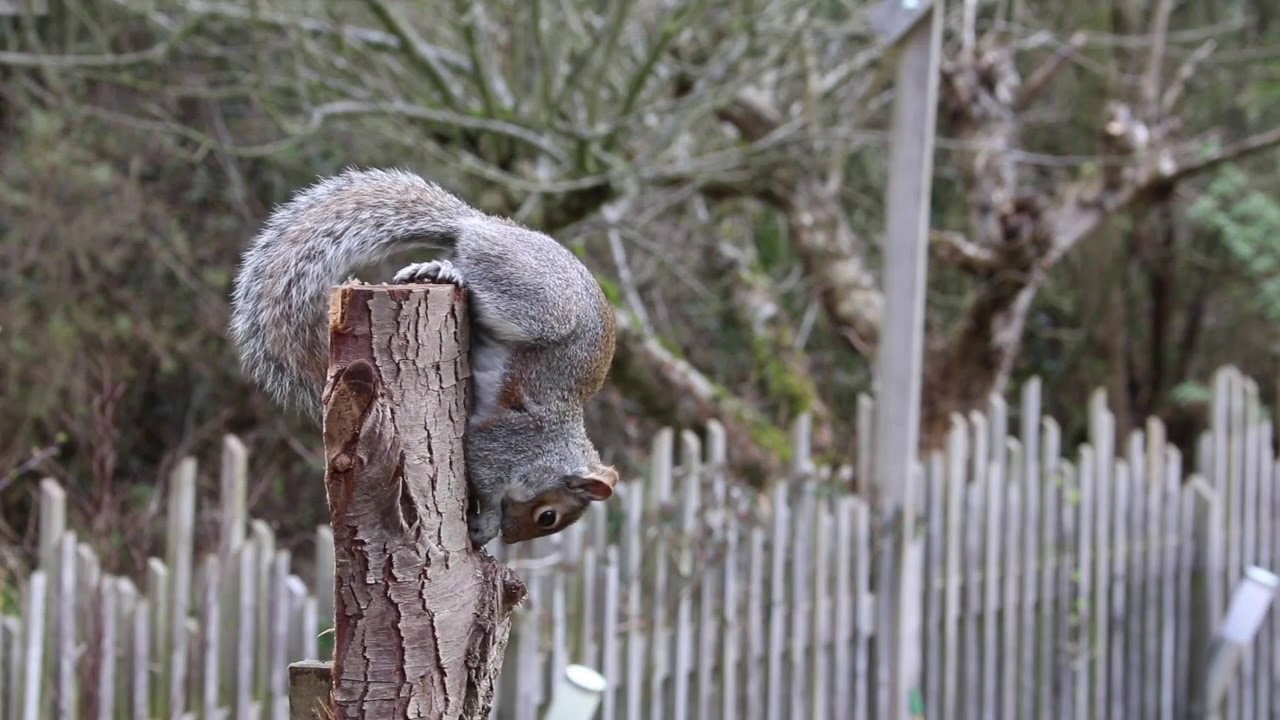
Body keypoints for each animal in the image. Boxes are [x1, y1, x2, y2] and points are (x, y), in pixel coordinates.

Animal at [228, 167, 619, 548]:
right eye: (548, 517)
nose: (510, 538)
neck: (553, 448)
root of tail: (480, 224)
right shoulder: (508, 441)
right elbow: (486, 475)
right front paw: (488, 524)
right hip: (539, 306)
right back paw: (446, 271)